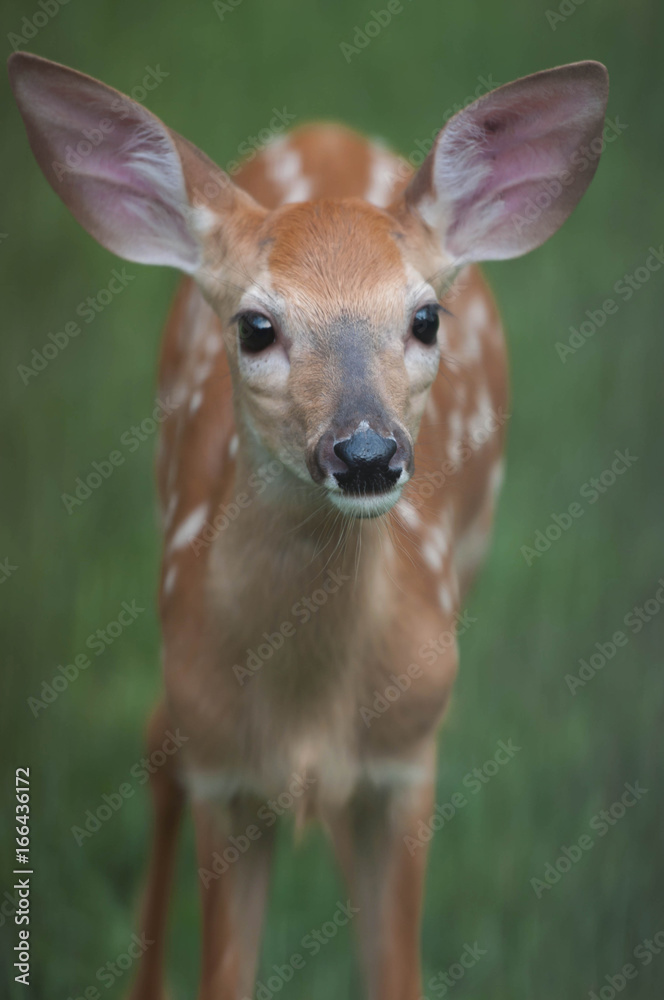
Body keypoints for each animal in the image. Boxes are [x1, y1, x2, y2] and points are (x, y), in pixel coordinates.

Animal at [9, 52, 609, 1000]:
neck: (310, 710)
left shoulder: (407, 759)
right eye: (257, 326)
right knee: (155, 739)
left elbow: (393, 974)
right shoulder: (223, 773)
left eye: (425, 317)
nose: (365, 451)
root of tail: (326, 130)